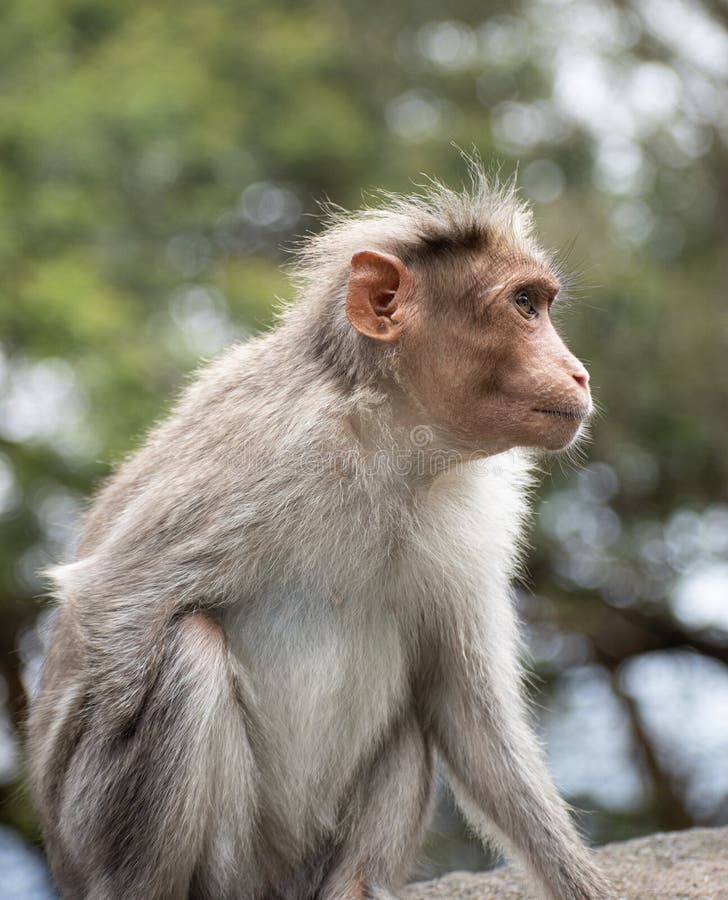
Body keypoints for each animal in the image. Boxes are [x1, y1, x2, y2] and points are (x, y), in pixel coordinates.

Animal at [26, 166, 610, 900]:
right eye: (525, 305)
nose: (579, 371)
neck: (392, 445)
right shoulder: (273, 451)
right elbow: (111, 596)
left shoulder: (475, 517)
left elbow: (465, 708)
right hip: (201, 854)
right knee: (187, 648)